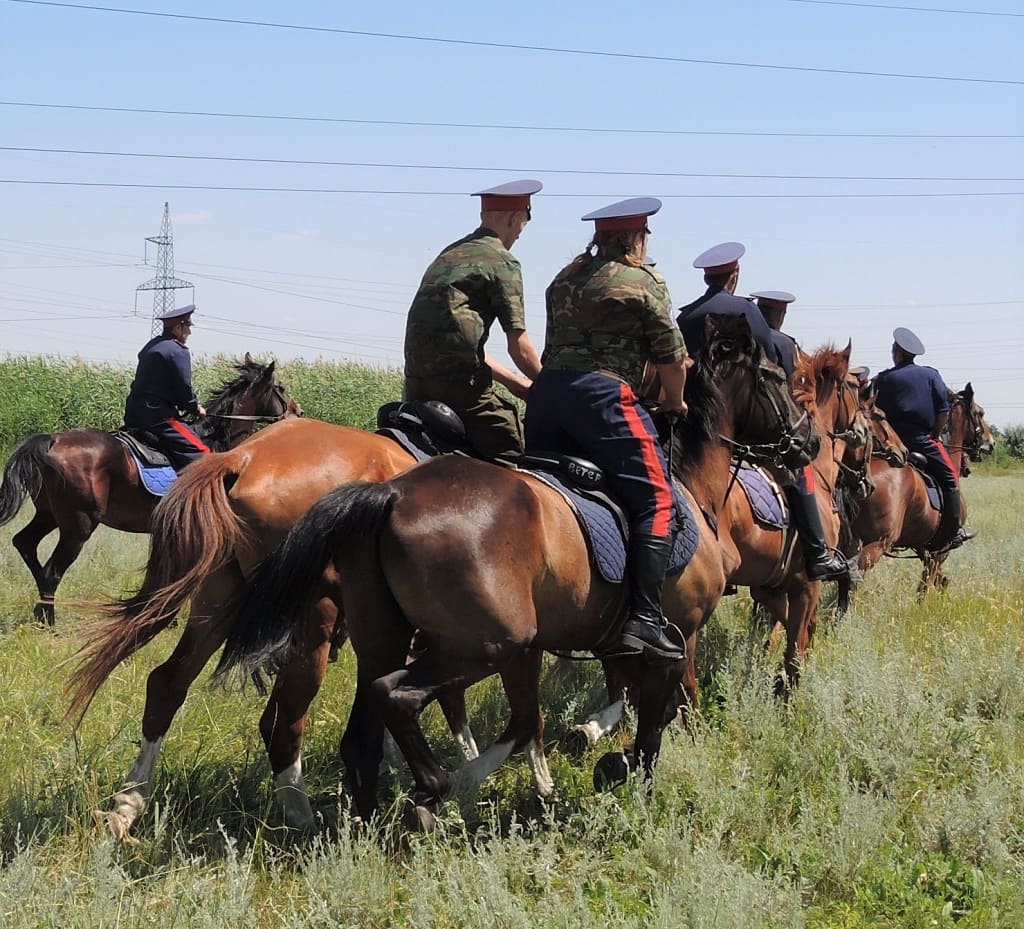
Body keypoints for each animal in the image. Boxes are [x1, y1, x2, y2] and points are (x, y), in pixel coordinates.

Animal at [0, 354, 299, 626]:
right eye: (281, 387)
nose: (298, 413)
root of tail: (53, 440)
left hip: (49, 514)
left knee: (25, 544)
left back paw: (40, 611)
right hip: (79, 524)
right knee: (52, 571)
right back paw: (49, 620)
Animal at [214, 315, 815, 831]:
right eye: (776, 377)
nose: (805, 441)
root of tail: (389, 494)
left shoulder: (571, 650)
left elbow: (543, 720)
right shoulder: (674, 640)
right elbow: (655, 722)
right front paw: (620, 772)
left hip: (390, 640)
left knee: (362, 739)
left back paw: (370, 826)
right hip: (481, 644)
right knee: (395, 698)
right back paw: (430, 790)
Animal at [835, 381, 987, 598]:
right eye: (980, 413)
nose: (990, 443)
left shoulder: (923, 547)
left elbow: (941, 579)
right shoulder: (940, 549)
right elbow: (925, 584)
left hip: (848, 543)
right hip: (877, 543)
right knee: (853, 573)